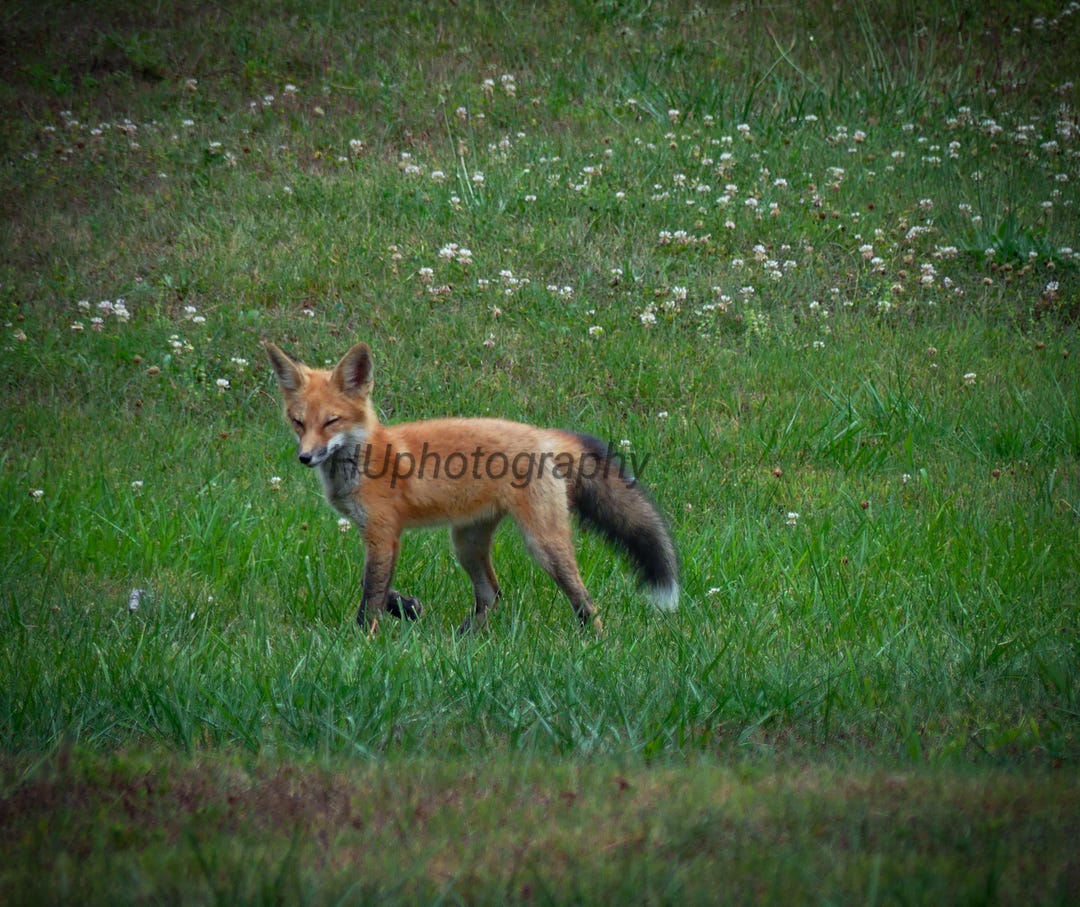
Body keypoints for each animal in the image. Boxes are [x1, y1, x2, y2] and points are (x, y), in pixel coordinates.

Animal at [266, 340, 679, 634]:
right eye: (298, 421)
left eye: (331, 421)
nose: (305, 457)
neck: (363, 459)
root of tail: (545, 434)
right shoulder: (379, 535)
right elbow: (379, 589)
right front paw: (408, 607)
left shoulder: (383, 534)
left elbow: (371, 595)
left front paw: (362, 638)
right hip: (466, 544)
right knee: (492, 595)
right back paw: (462, 639)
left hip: (543, 545)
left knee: (585, 602)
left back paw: (593, 640)